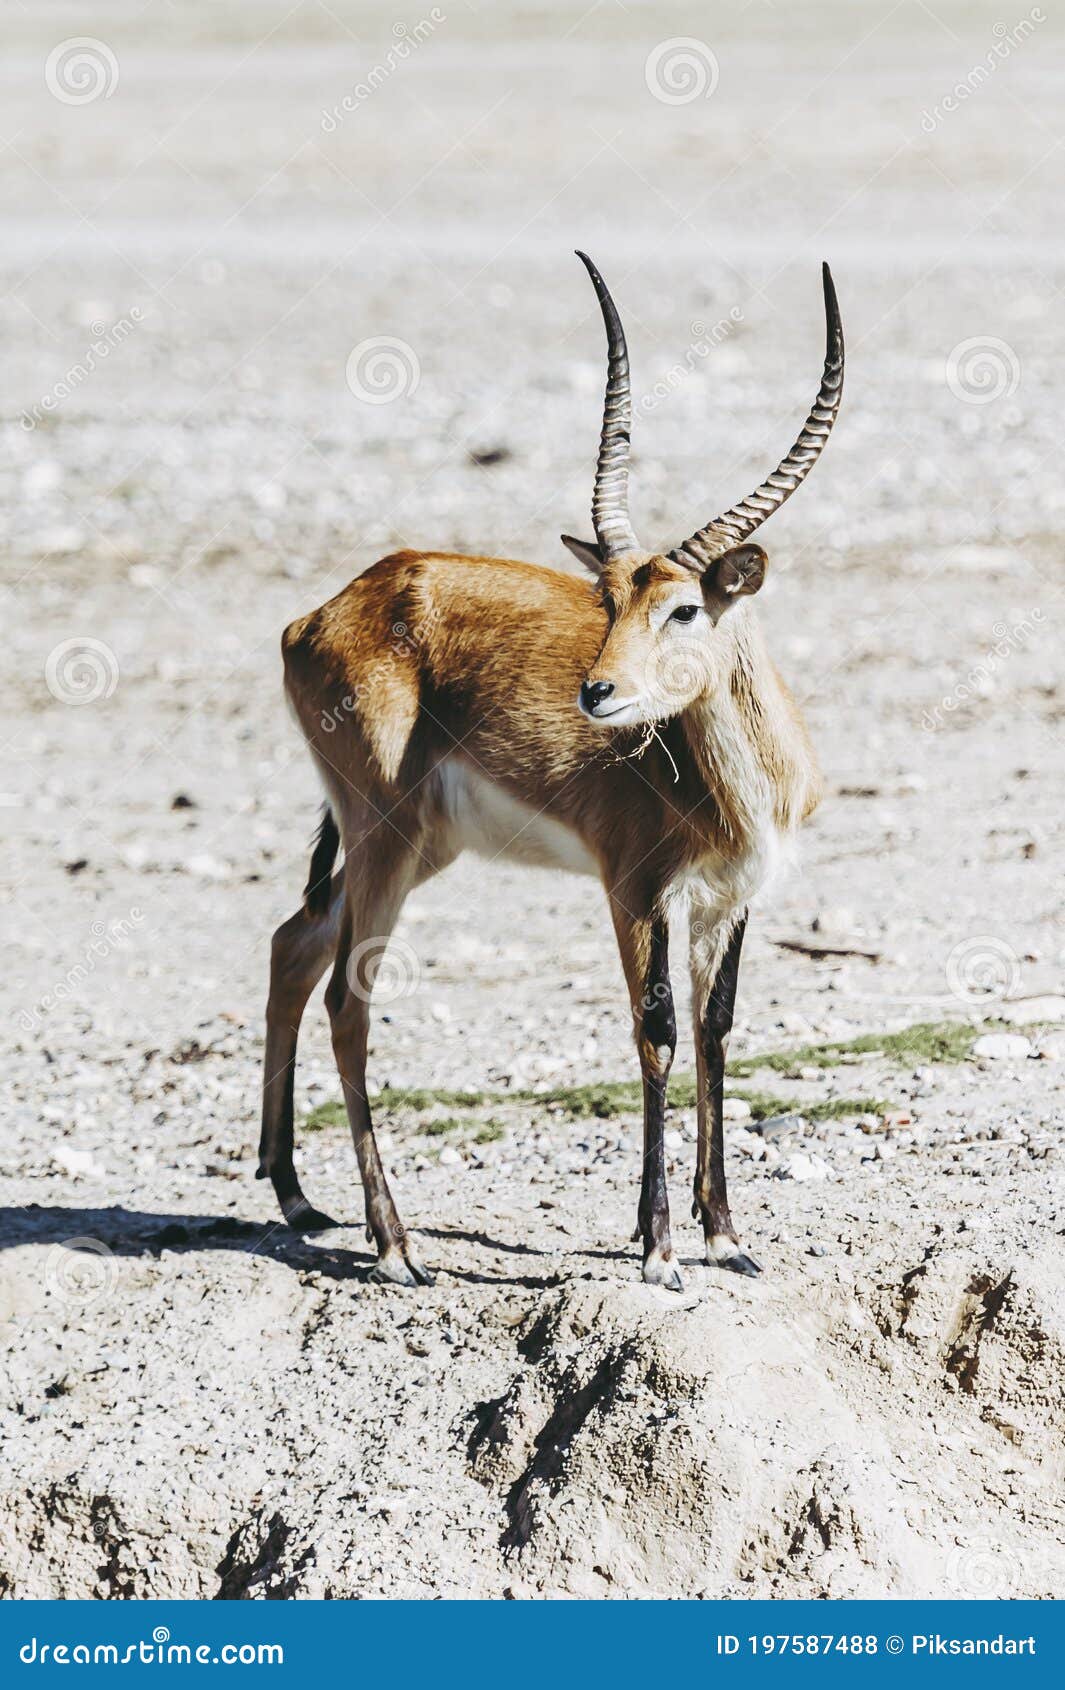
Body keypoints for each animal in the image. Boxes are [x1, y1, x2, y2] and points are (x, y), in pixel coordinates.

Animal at [258, 254, 843, 1290]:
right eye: (604, 599)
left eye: (685, 608)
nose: (596, 693)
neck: (725, 787)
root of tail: (332, 606)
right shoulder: (635, 887)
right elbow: (655, 1030)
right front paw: (658, 1250)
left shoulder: (733, 894)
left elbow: (715, 1028)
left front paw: (723, 1235)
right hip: (383, 837)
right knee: (344, 999)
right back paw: (396, 1248)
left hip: (419, 846)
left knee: (294, 943)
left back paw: (295, 1196)